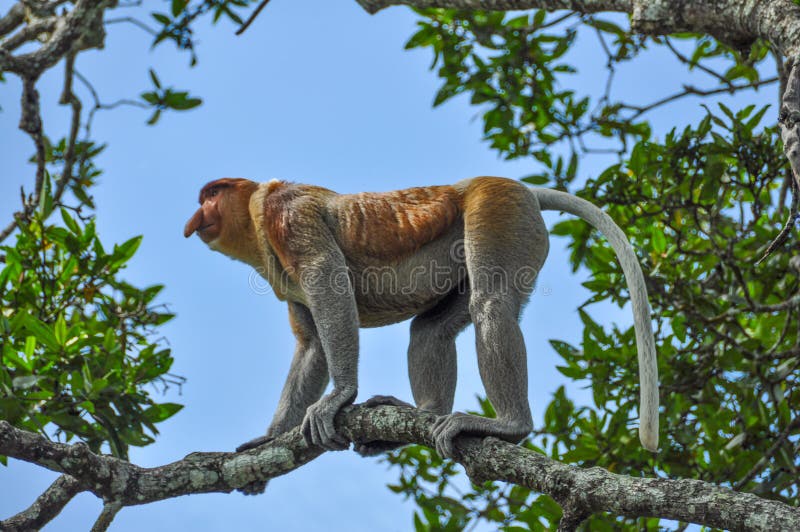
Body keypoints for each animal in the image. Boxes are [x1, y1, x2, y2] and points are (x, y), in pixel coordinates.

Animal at [184, 176, 658, 491]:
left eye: (213, 194)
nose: (195, 217)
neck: (256, 210)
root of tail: (516, 186)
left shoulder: (288, 214)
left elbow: (329, 282)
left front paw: (339, 397)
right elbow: (312, 345)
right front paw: (267, 439)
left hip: (499, 212)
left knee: (490, 304)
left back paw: (508, 425)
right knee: (429, 329)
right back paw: (423, 413)